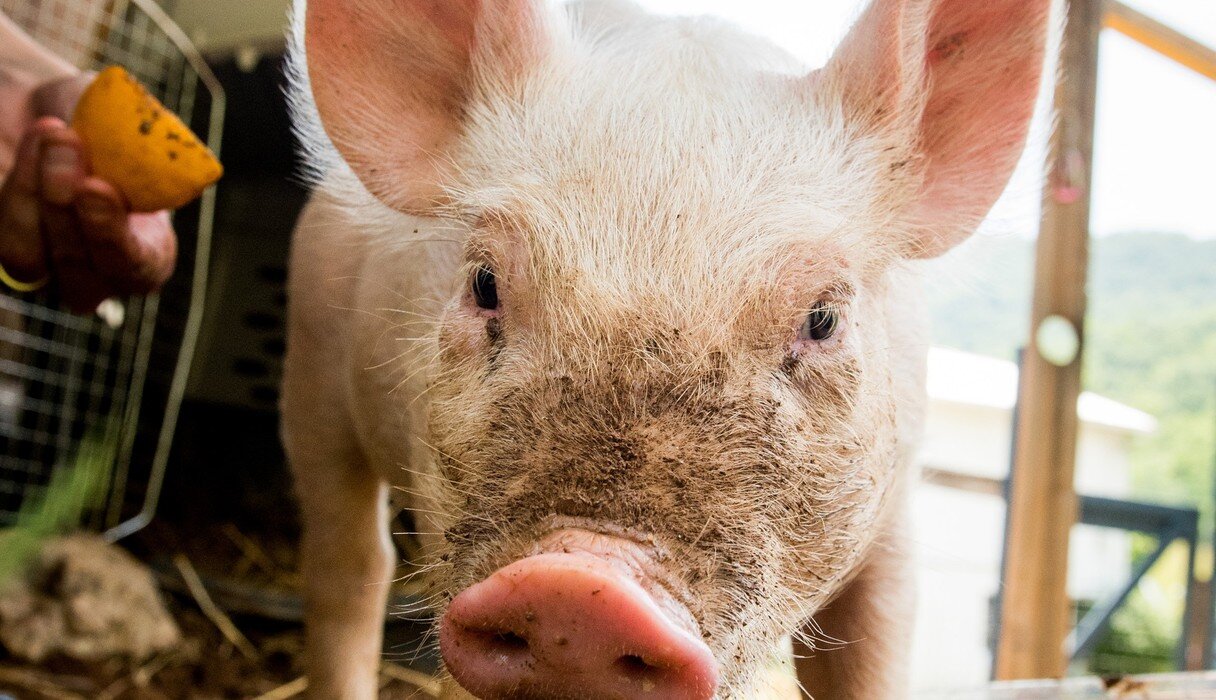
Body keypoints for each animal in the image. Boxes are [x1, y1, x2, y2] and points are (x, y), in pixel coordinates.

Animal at [281, 0, 1050, 697]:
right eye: (484, 282)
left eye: (824, 319)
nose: (578, 585)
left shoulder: (895, 521)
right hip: (311, 368)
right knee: (350, 568)